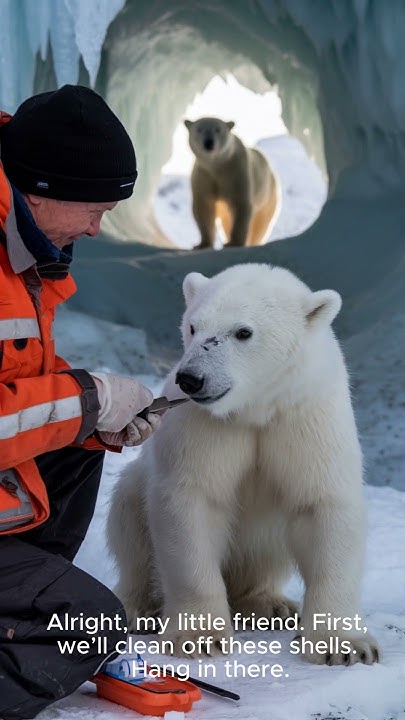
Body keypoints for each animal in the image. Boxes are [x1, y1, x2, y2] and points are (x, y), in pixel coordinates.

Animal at [106, 263, 379, 667]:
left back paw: (270, 605)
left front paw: (346, 647)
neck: (255, 407)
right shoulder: (204, 425)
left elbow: (322, 504)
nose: (191, 379)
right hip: (137, 499)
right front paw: (199, 638)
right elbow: (194, 502)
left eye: (243, 332)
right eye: (193, 326)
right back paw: (136, 608)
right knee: (129, 514)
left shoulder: (305, 412)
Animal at [184, 117, 281, 249]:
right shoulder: (203, 176)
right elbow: (204, 207)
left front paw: (234, 243)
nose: (208, 142)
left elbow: (240, 204)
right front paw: (202, 244)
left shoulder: (236, 172)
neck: (217, 165)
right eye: (199, 129)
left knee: (260, 224)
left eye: (218, 130)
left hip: (267, 198)